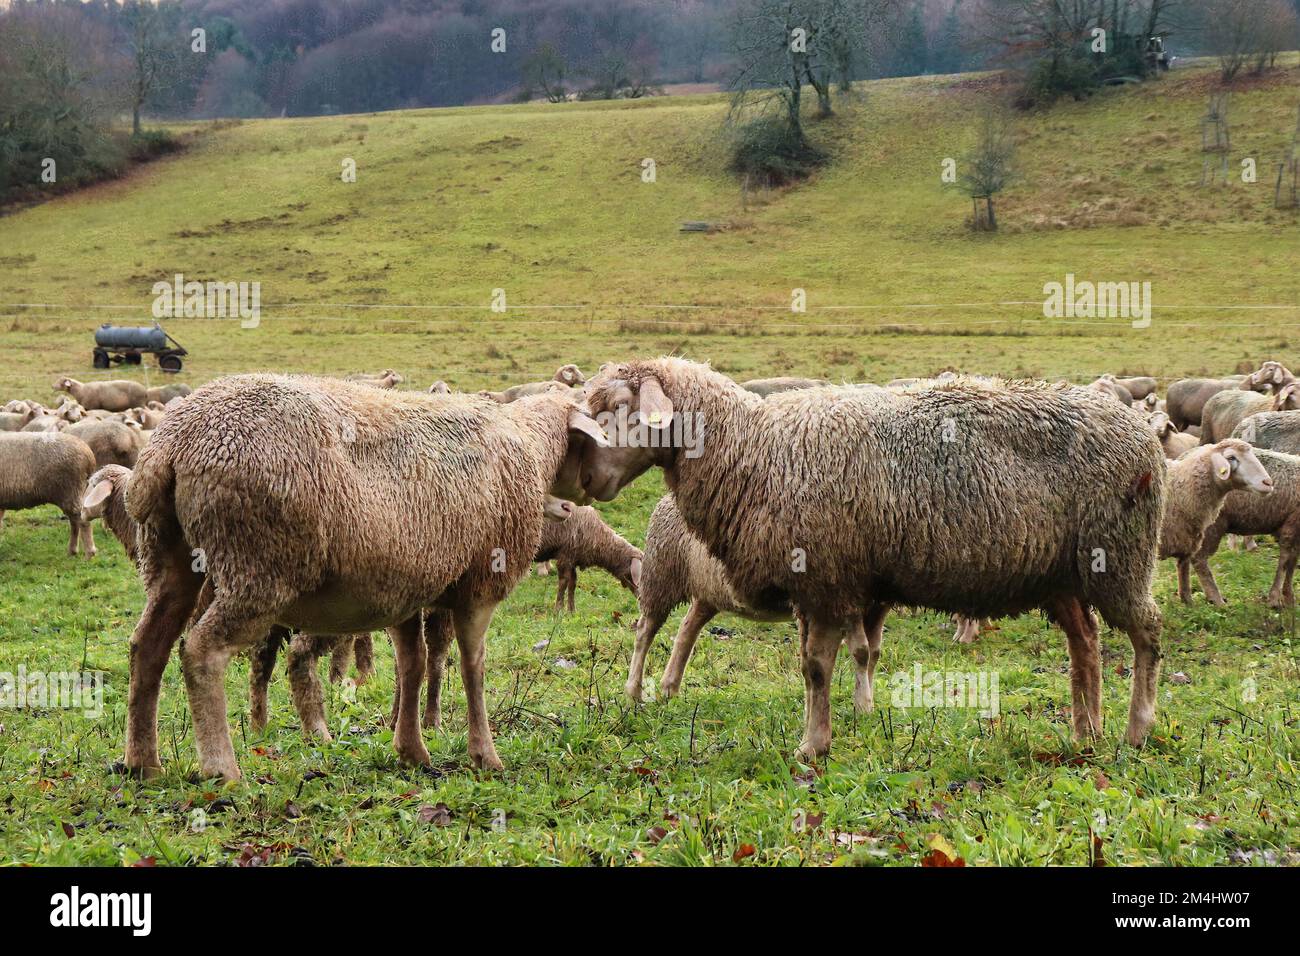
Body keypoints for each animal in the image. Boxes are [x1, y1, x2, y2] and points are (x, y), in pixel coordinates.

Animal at [121, 374, 605, 781]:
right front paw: (484, 754)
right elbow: (473, 666)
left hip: (170, 555)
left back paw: (143, 762)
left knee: (148, 646)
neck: (531, 448)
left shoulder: (403, 590)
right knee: (202, 651)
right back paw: (222, 768)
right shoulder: (481, 584)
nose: (577, 502)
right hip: (258, 563)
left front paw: (411, 750)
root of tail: (174, 445)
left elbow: (412, 665)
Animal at [579, 359, 1167, 757]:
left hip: (1120, 555)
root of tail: (1145, 436)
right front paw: (819, 734)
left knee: (1147, 632)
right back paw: (1085, 732)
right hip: (1063, 574)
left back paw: (1136, 729)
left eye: (619, 409)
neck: (754, 450)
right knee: (1085, 644)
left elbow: (818, 666)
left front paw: (813, 745)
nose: (585, 480)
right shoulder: (816, 585)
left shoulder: (827, 578)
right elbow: (813, 666)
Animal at [1157, 440, 1273, 603]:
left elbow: (1184, 580)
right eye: (1231, 457)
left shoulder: (1187, 542)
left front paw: (1189, 604)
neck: (1181, 490)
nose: (1268, 482)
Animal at [1192, 449, 1300, 607]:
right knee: (1198, 559)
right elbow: (1285, 563)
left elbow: (1292, 563)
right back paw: (1217, 599)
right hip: (1212, 525)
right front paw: (1274, 599)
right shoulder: (1291, 526)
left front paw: (1289, 599)